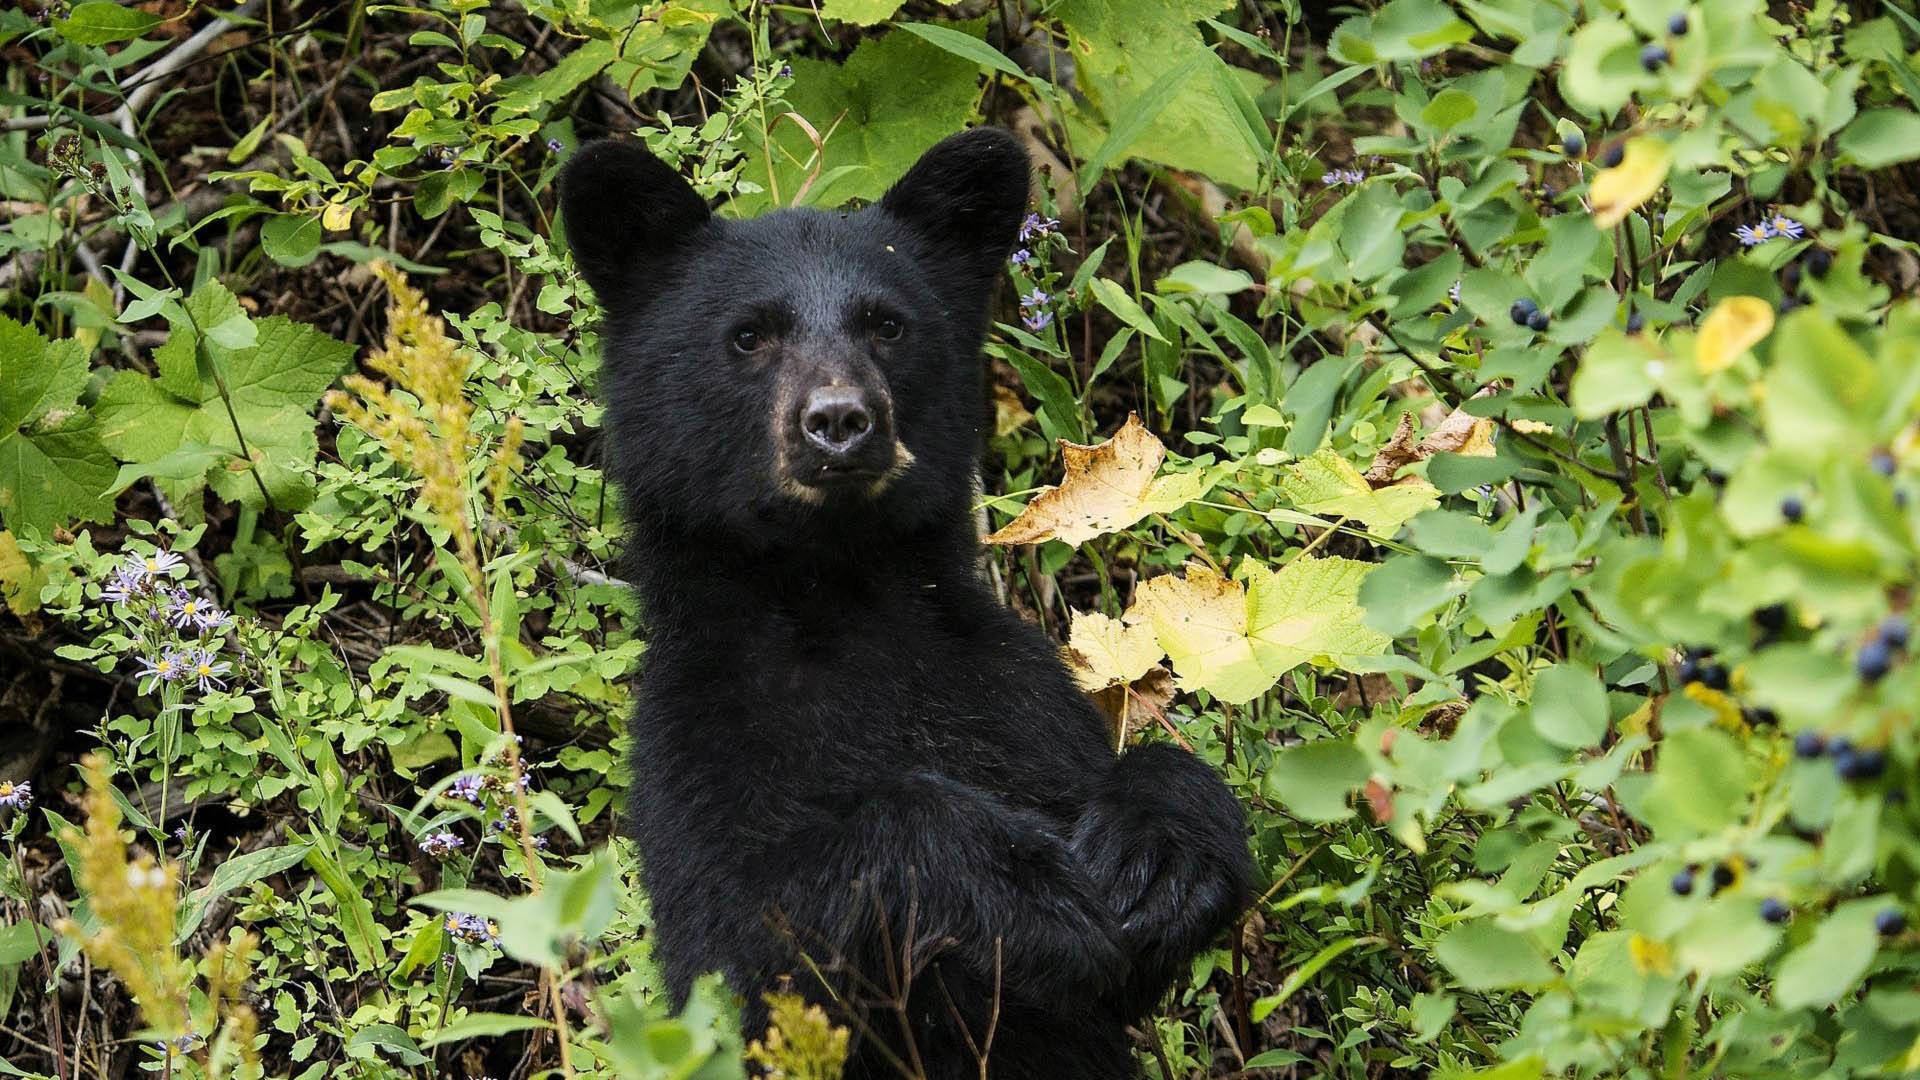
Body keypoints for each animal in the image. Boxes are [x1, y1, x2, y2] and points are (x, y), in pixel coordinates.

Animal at [558, 127, 1253, 1080]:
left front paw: (1156, 855)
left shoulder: (1011, 696)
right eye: (748, 335)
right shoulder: (700, 744)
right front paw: (1022, 883)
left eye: (887, 324)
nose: (839, 421)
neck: (838, 596)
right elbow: (757, 931)